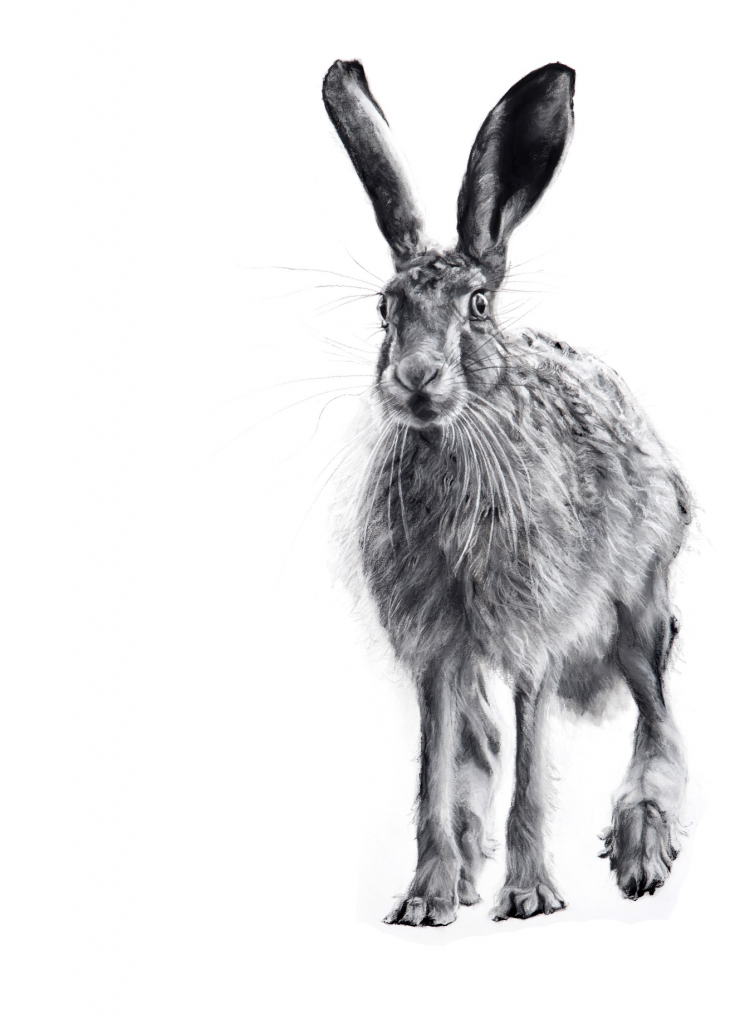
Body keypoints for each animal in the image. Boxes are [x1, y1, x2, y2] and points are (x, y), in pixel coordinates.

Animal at [322, 59, 691, 925]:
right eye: (385, 310)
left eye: (478, 307)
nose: (417, 378)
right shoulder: (435, 651)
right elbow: (436, 769)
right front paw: (425, 899)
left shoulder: (531, 637)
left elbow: (532, 766)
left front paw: (528, 896)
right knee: (481, 745)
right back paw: (463, 874)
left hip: (639, 607)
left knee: (658, 720)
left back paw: (640, 850)